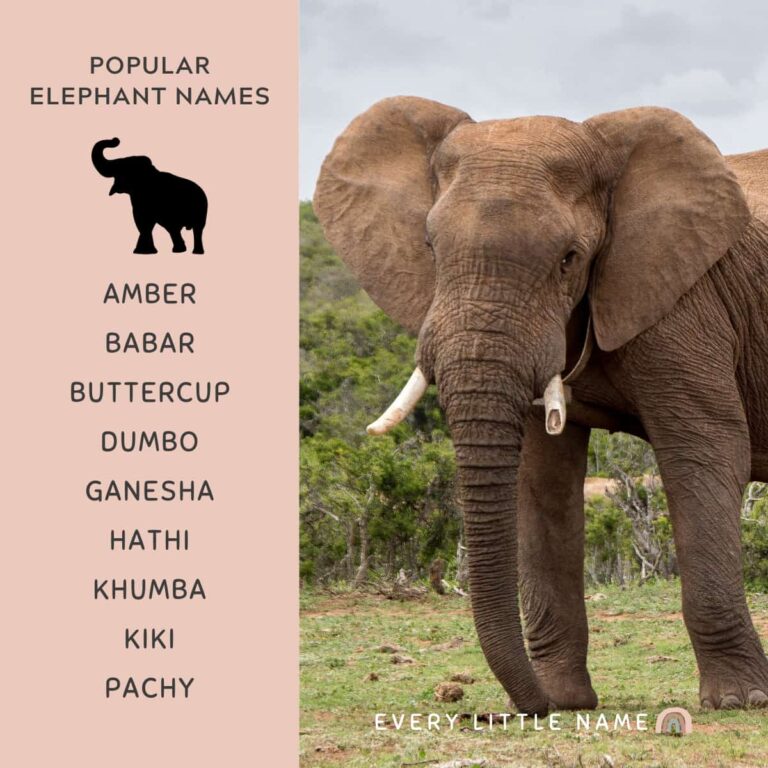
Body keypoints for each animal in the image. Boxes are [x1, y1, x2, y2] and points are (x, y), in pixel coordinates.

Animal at [313, 96, 768, 716]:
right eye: (430, 248)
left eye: (569, 259)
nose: (527, 708)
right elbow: (542, 477)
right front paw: (563, 699)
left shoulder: (685, 300)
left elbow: (704, 452)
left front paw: (740, 700)